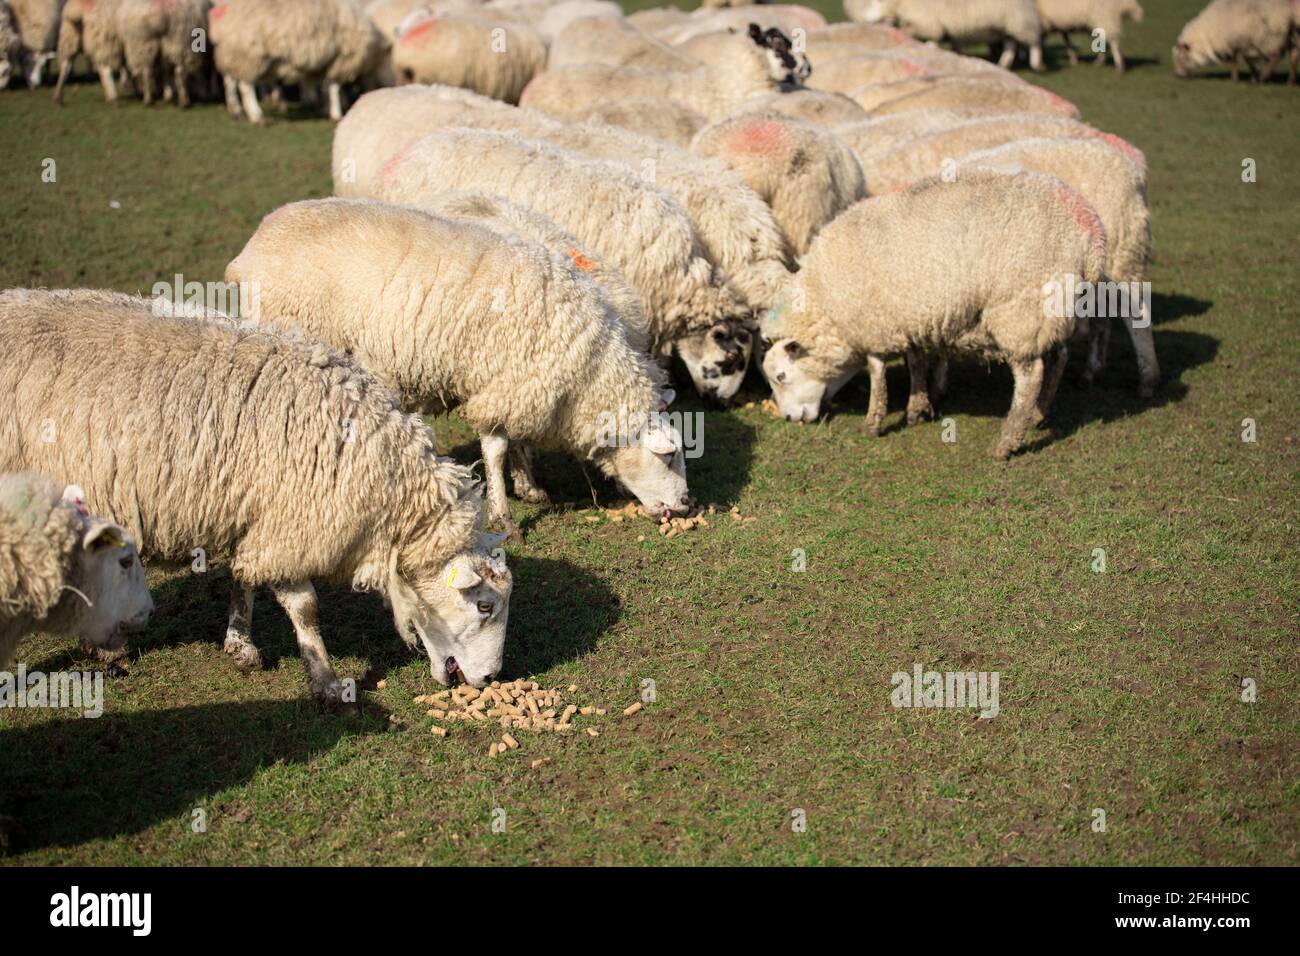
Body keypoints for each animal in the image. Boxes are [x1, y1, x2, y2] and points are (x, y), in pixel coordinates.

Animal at [210, 0, 385, 124]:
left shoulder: (324, 63)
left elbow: (320, 86)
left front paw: (319, 105)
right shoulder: (341, 58)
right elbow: (333, 87)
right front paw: (335, 113)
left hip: (231, 51)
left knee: (229, 81)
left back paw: (236, 110)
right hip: (249, 52)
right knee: (246, 86)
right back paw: (256, 115)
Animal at [226, 198, 691, 537]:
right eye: (668, 456)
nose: (687, 505)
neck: (589, 370)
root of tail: (249, 249)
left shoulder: (517, 386)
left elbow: (517, 440)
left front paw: (530, 487)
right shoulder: (501, 382)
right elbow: (496, 449)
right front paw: (504, 516)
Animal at [760, 169, 1107, 459]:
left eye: (781, 377)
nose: (789, 417)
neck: (824, 300)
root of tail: (1091, 236)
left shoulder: (873, 323)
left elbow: (877, 372)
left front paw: (873, 421)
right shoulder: (909, 318)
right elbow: (915, 361)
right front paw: (917, 408)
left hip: (1021, 309)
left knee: (1030, 375)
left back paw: (1007, 442)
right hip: (1053, 313)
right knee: (1058, 358)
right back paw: (1037, 414)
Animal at [855, 0, 1046, 71]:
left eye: (876, 2)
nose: (865, 20)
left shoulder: (930, 23)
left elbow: (932, 40)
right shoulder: (930, 24)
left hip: (1020, 19)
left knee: (1034, 41)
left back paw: (1037, 64)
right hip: (1006, 25)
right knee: (1010, 43)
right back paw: (1003, 63)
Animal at [957, 138, 1157, 396]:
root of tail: (1133, 171)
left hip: (1121, 257)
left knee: (1137, 316)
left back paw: (1147, 381)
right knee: (1103, 320)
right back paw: (1091, 373)